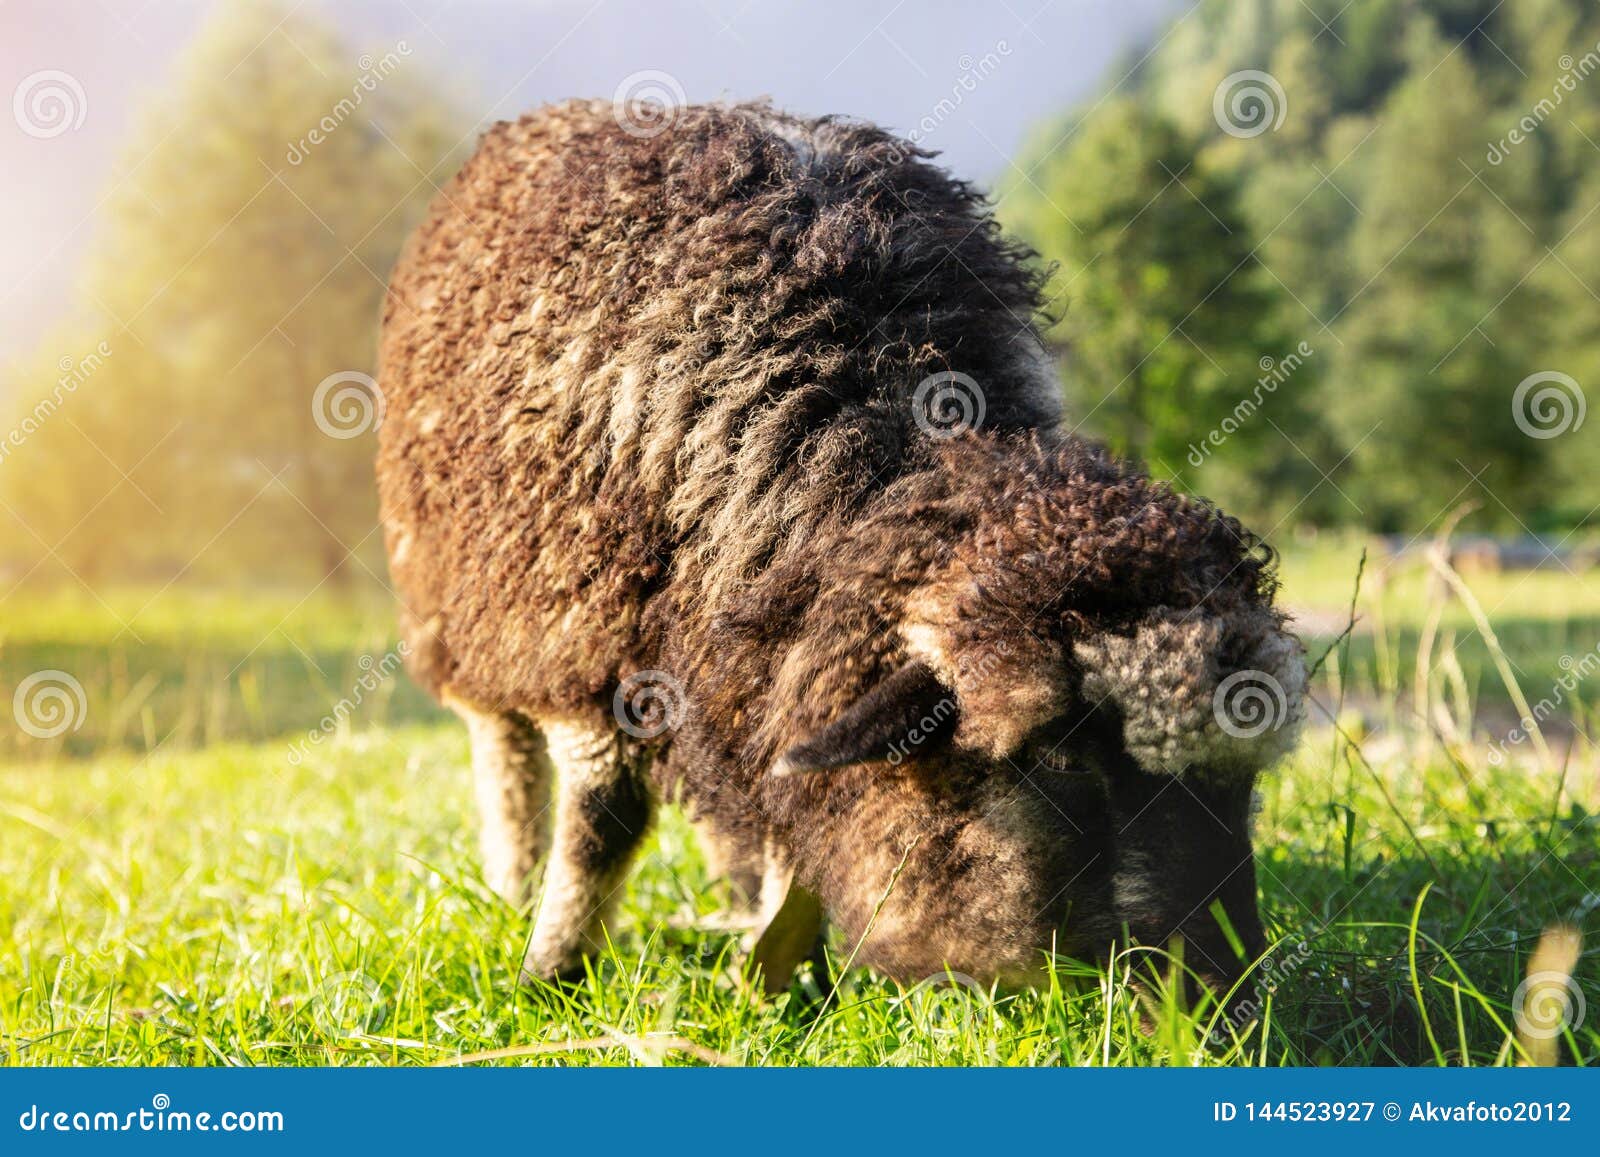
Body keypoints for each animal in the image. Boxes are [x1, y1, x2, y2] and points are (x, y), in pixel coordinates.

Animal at [375, 99, 1306, 997]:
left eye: (1245, 781)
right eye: (1059, 757)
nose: (1224, 1003)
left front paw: (775, 959)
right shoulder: (578, 635)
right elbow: (605, 819)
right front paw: (552, 975)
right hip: (460, 606)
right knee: (504, 753)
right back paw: (513, 886)